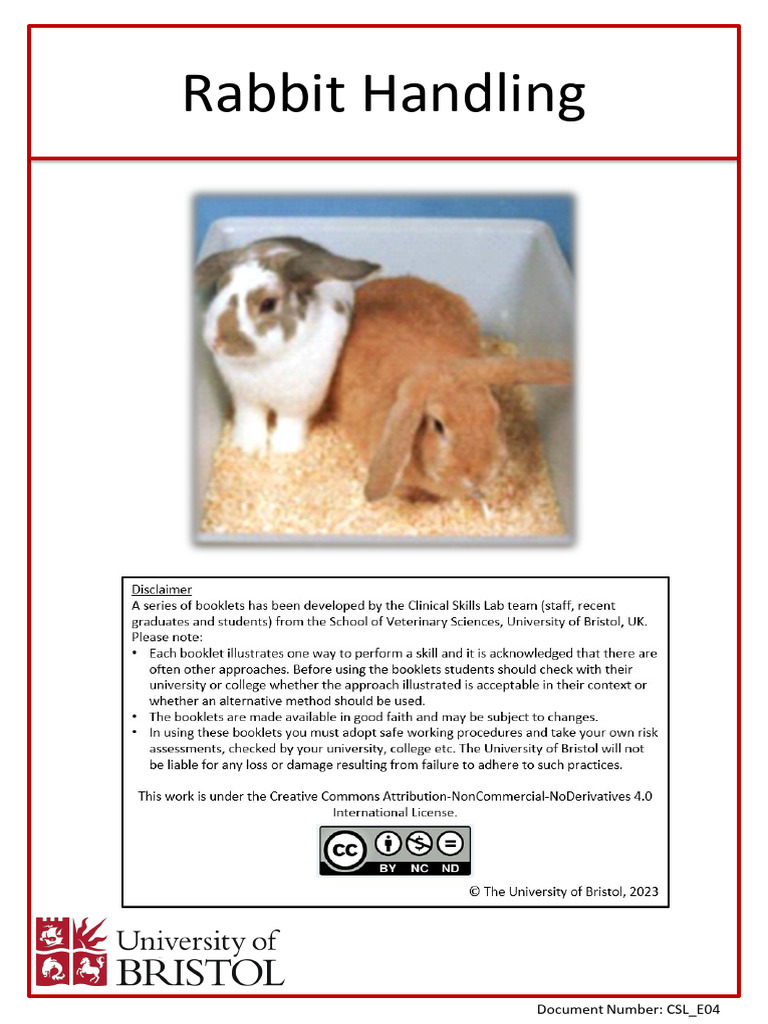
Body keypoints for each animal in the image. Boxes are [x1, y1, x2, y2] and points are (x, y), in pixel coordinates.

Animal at [196, 237, 379, 454]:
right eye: (219, 286)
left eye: (268, 304)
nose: (213, 340)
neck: (267, 360)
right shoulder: (246, 400)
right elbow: (251, 419)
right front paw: (249, 446)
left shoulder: (297, 403)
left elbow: (290, 423)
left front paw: (283, 449)